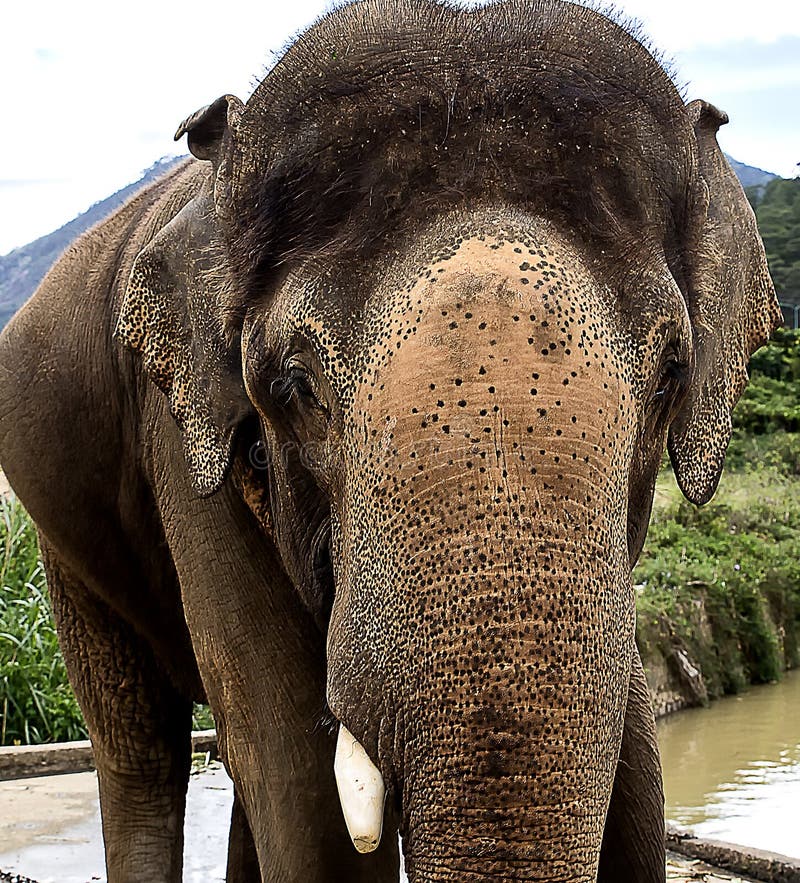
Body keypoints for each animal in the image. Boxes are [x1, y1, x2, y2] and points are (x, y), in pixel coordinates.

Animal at [0, 1, 780, 881]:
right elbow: (298, 778)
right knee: (141, 748)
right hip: (64, 537)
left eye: (670, 376)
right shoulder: (184, 448)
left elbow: (637, 780)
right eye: (294, 387)